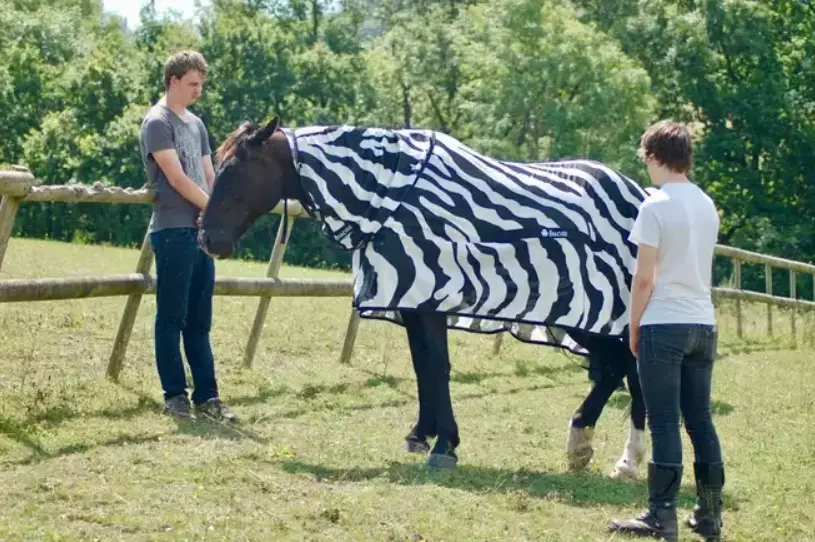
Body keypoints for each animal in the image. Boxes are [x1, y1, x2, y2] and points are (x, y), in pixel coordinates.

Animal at [202, 117, 652, 474]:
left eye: (235, 170)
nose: (208, 239)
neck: (392, 198)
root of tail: (640, 196)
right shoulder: (413, 302)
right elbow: (422, 367)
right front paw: (421, 434)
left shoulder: (432, 296)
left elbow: (437, 366)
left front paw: (445, 445)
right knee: (625, 370)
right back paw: (614, 455)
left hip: (596, 313)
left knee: (622, 367)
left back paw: (597, 447)